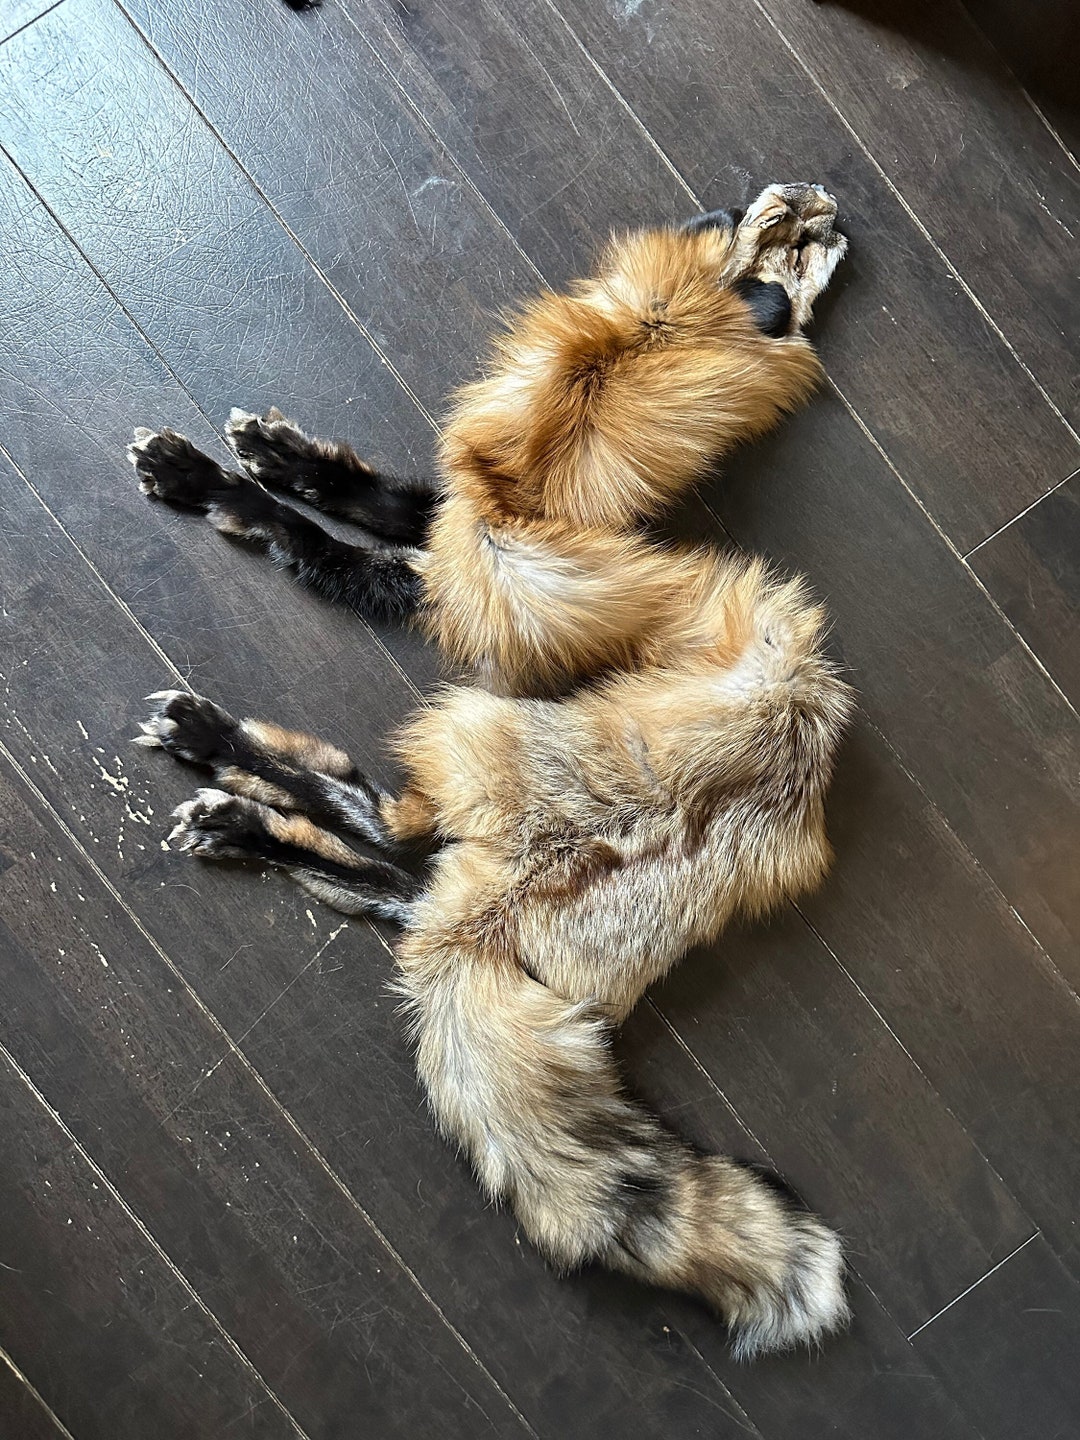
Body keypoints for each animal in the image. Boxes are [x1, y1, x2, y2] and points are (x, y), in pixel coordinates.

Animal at [128, 185, 853, 1353]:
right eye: (772, 226)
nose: (835, 208)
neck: (541, 492)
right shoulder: (459, 544)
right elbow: (386, 502)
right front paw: (275, 461)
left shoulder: (453, 600)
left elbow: (341, 546)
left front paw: (223, 486)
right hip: (484, 832)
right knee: (400, 883)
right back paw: (242, 823)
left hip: (475, 727)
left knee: (385, 828)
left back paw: (221, 760)